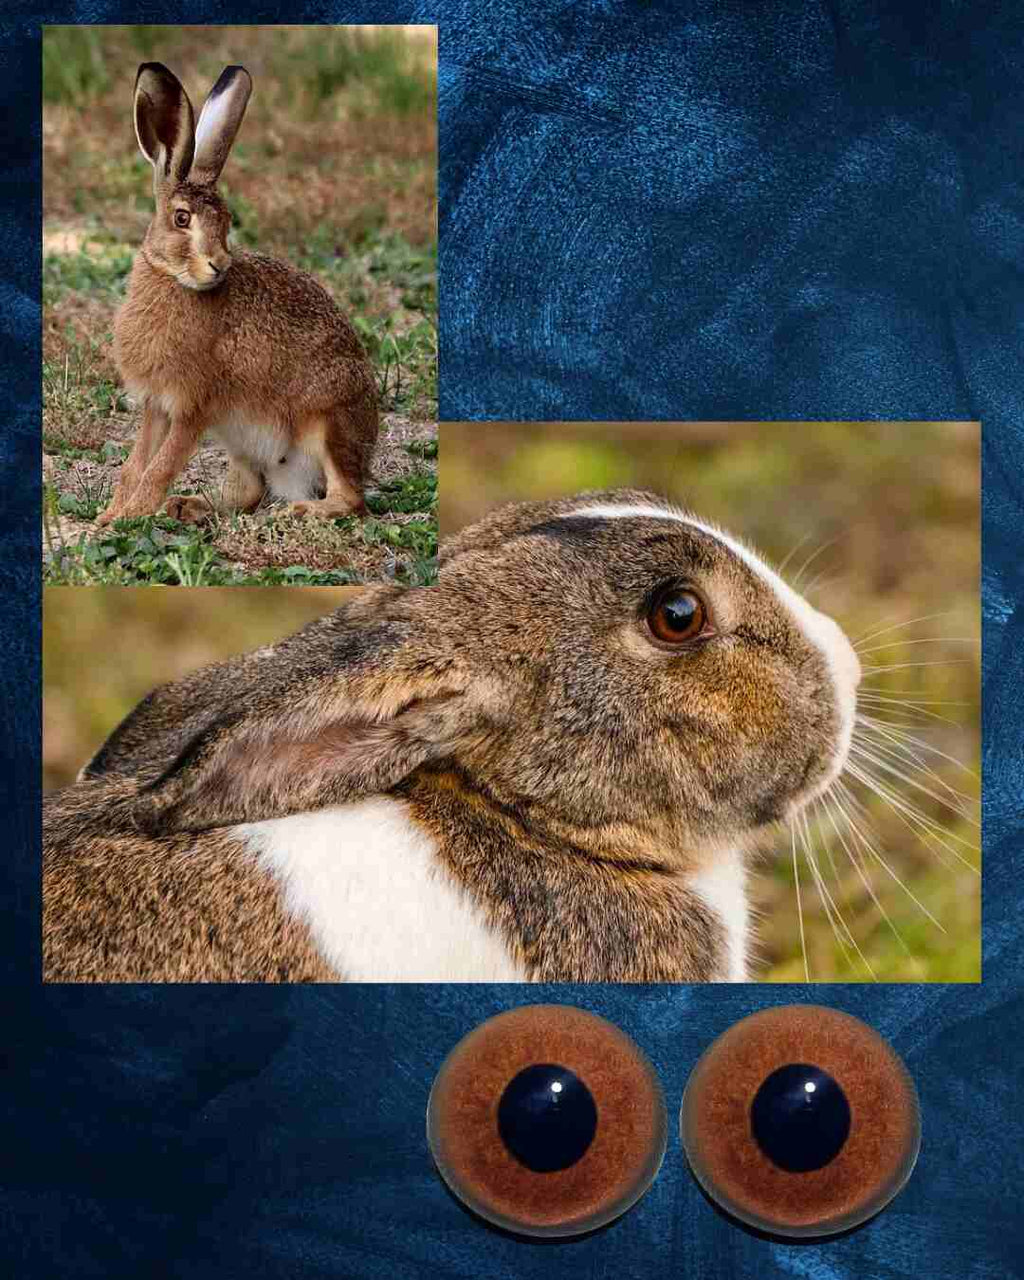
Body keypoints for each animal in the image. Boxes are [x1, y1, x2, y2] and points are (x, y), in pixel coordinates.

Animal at [96, 62, 379, 527]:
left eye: (227, 221)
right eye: (181, 219)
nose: (219, 265)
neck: (174, 282)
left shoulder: (194, 407)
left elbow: (160, 467)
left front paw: (126, 518)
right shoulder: (157, 405)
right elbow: (135, 464)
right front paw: (111, 515)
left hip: (326, 423)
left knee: (350, 499)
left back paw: (298, 511)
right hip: (242, 443)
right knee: (250, 493)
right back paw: (187, 506)